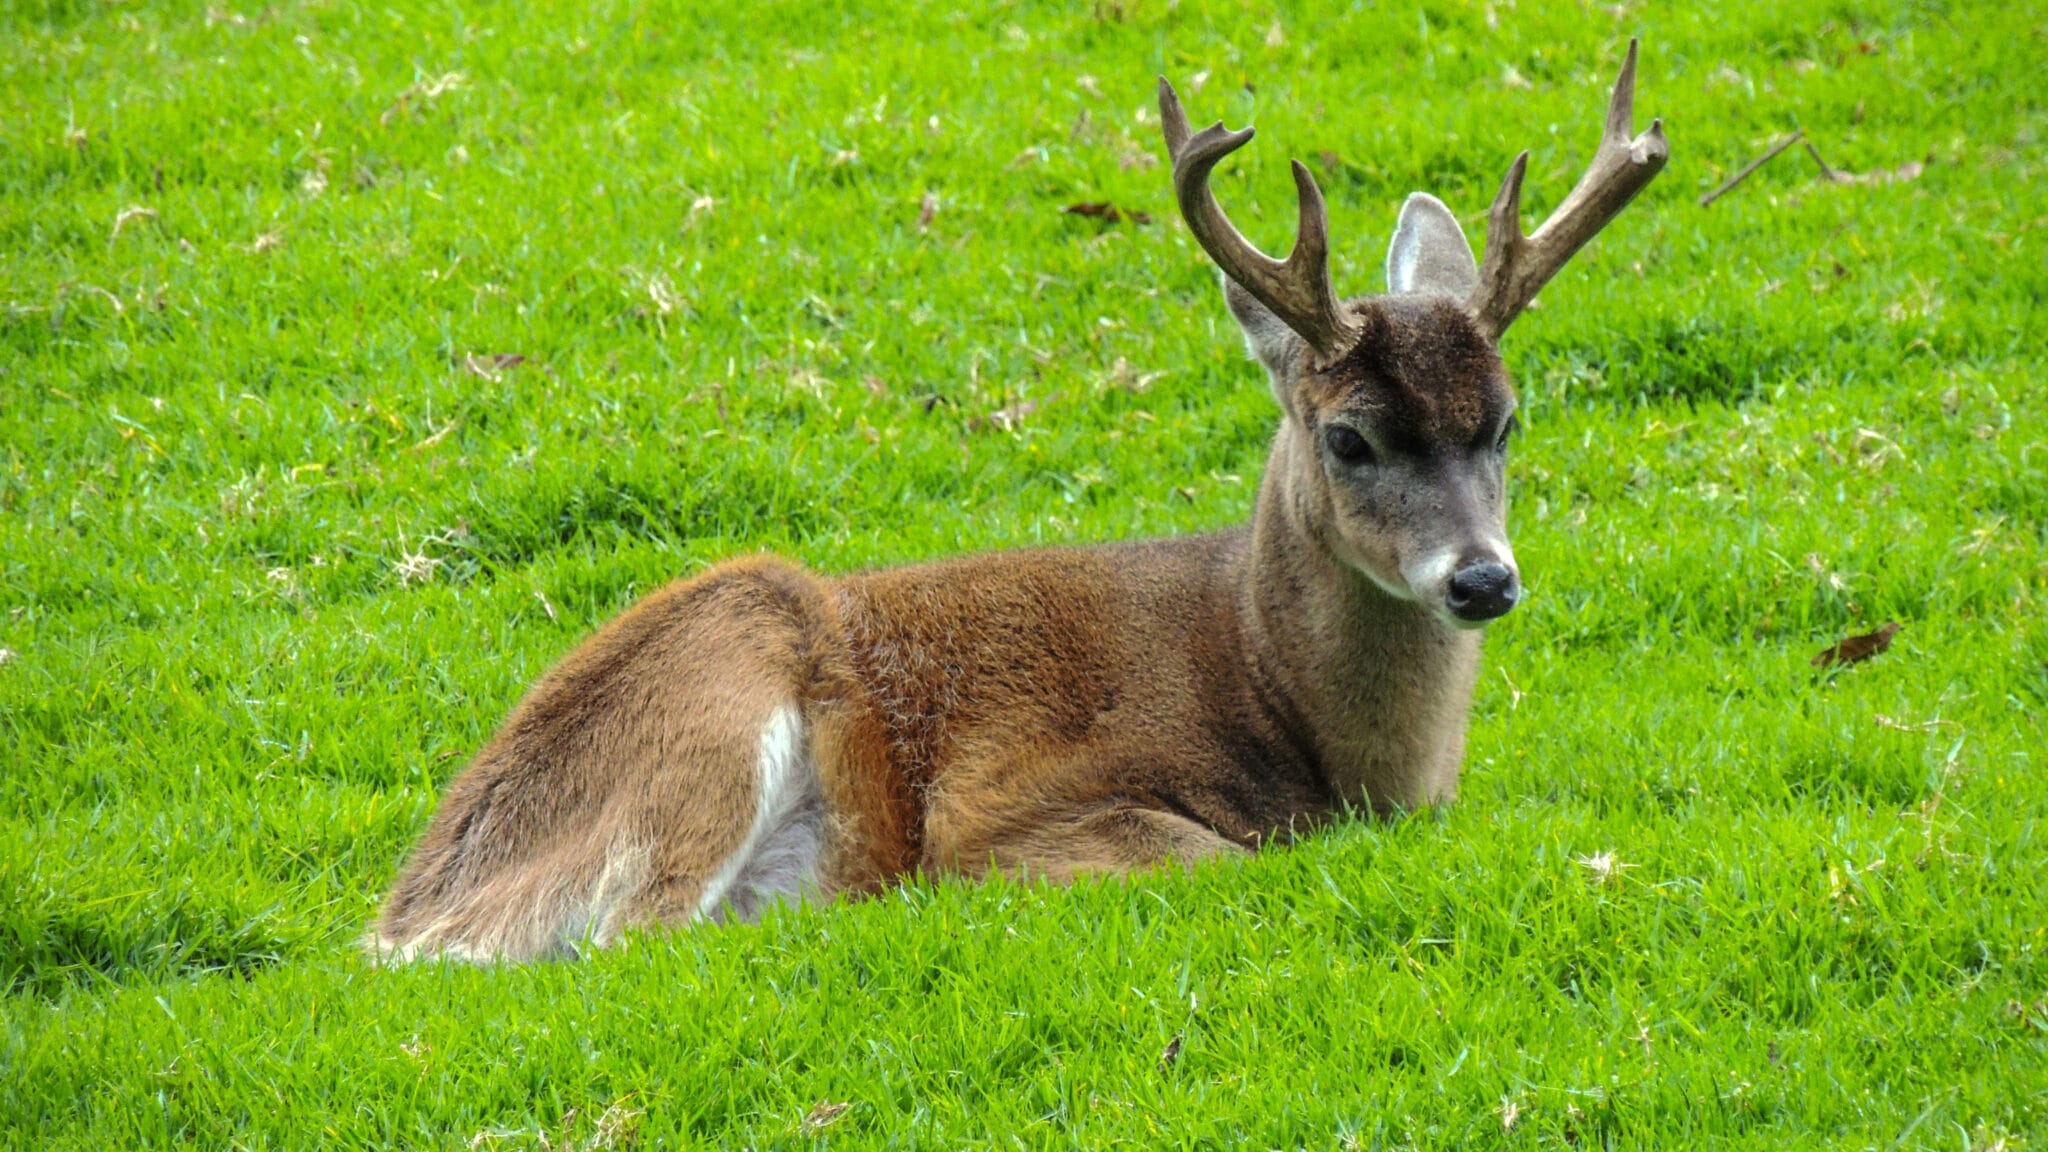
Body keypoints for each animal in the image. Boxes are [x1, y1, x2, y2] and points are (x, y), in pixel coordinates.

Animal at [372, 41, 1667, 963]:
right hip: (722, 676)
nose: (1481, 578)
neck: (1274, 700)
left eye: (1506, 422)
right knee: (642, 934)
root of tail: (410, 915)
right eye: (1348, 437)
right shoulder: (1014, 798)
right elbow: (1217, 855)